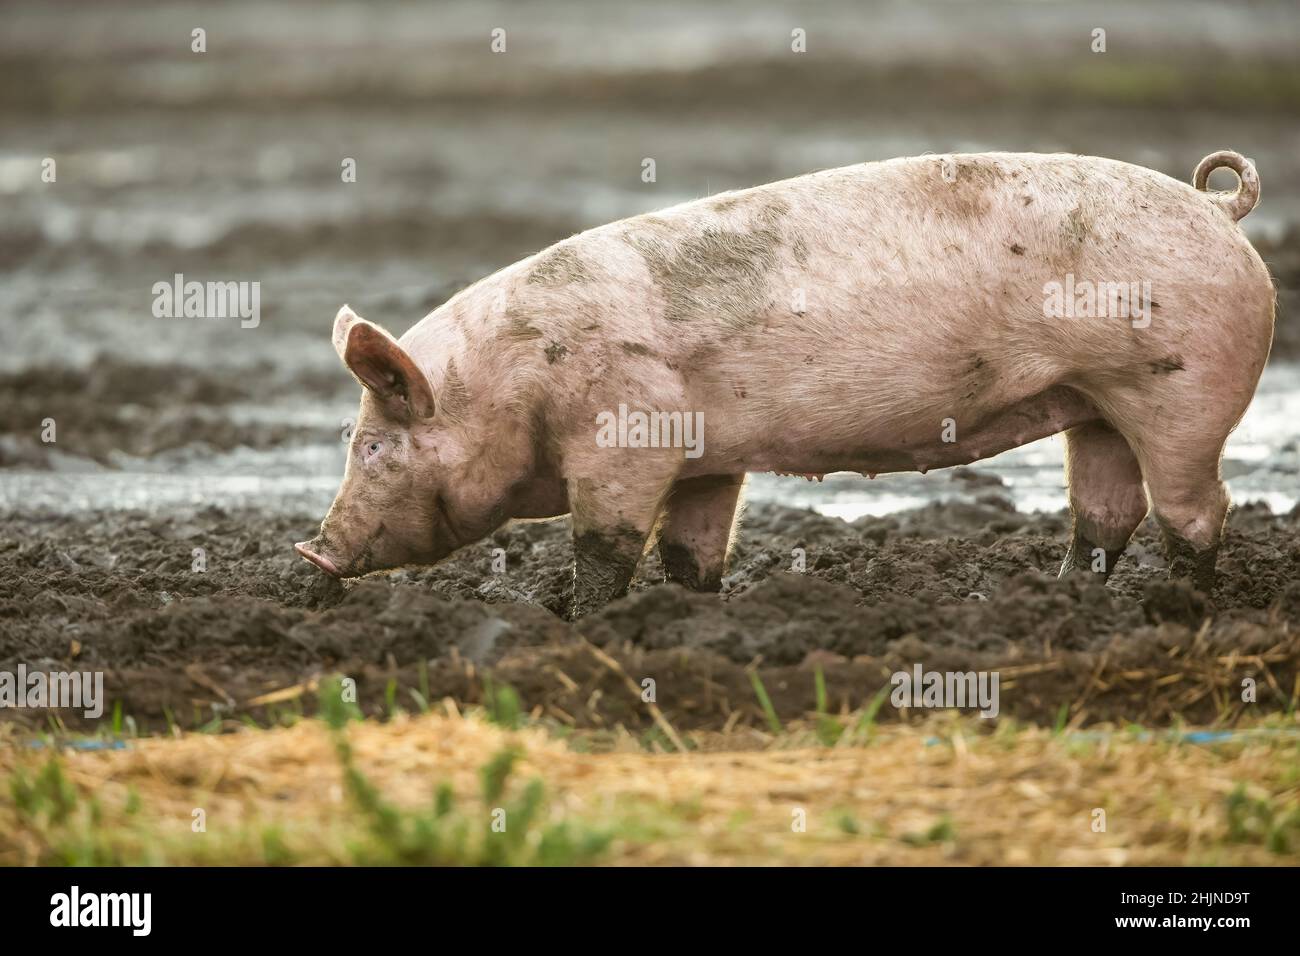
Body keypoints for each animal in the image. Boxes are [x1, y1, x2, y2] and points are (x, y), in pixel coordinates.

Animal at [295, 150, 1273, 616]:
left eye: (373, 445)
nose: (310, 554)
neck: (518, 379)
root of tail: (1217, 207)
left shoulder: (622, 443)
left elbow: (607, 547)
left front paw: (582, 626)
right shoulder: (707, 457)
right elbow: (691, 550)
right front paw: (691, 615)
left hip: (1179, 390)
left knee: (1196, 509)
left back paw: (1180, 606)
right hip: (1097, 402)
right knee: (1108, 508)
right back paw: (1060, 600)